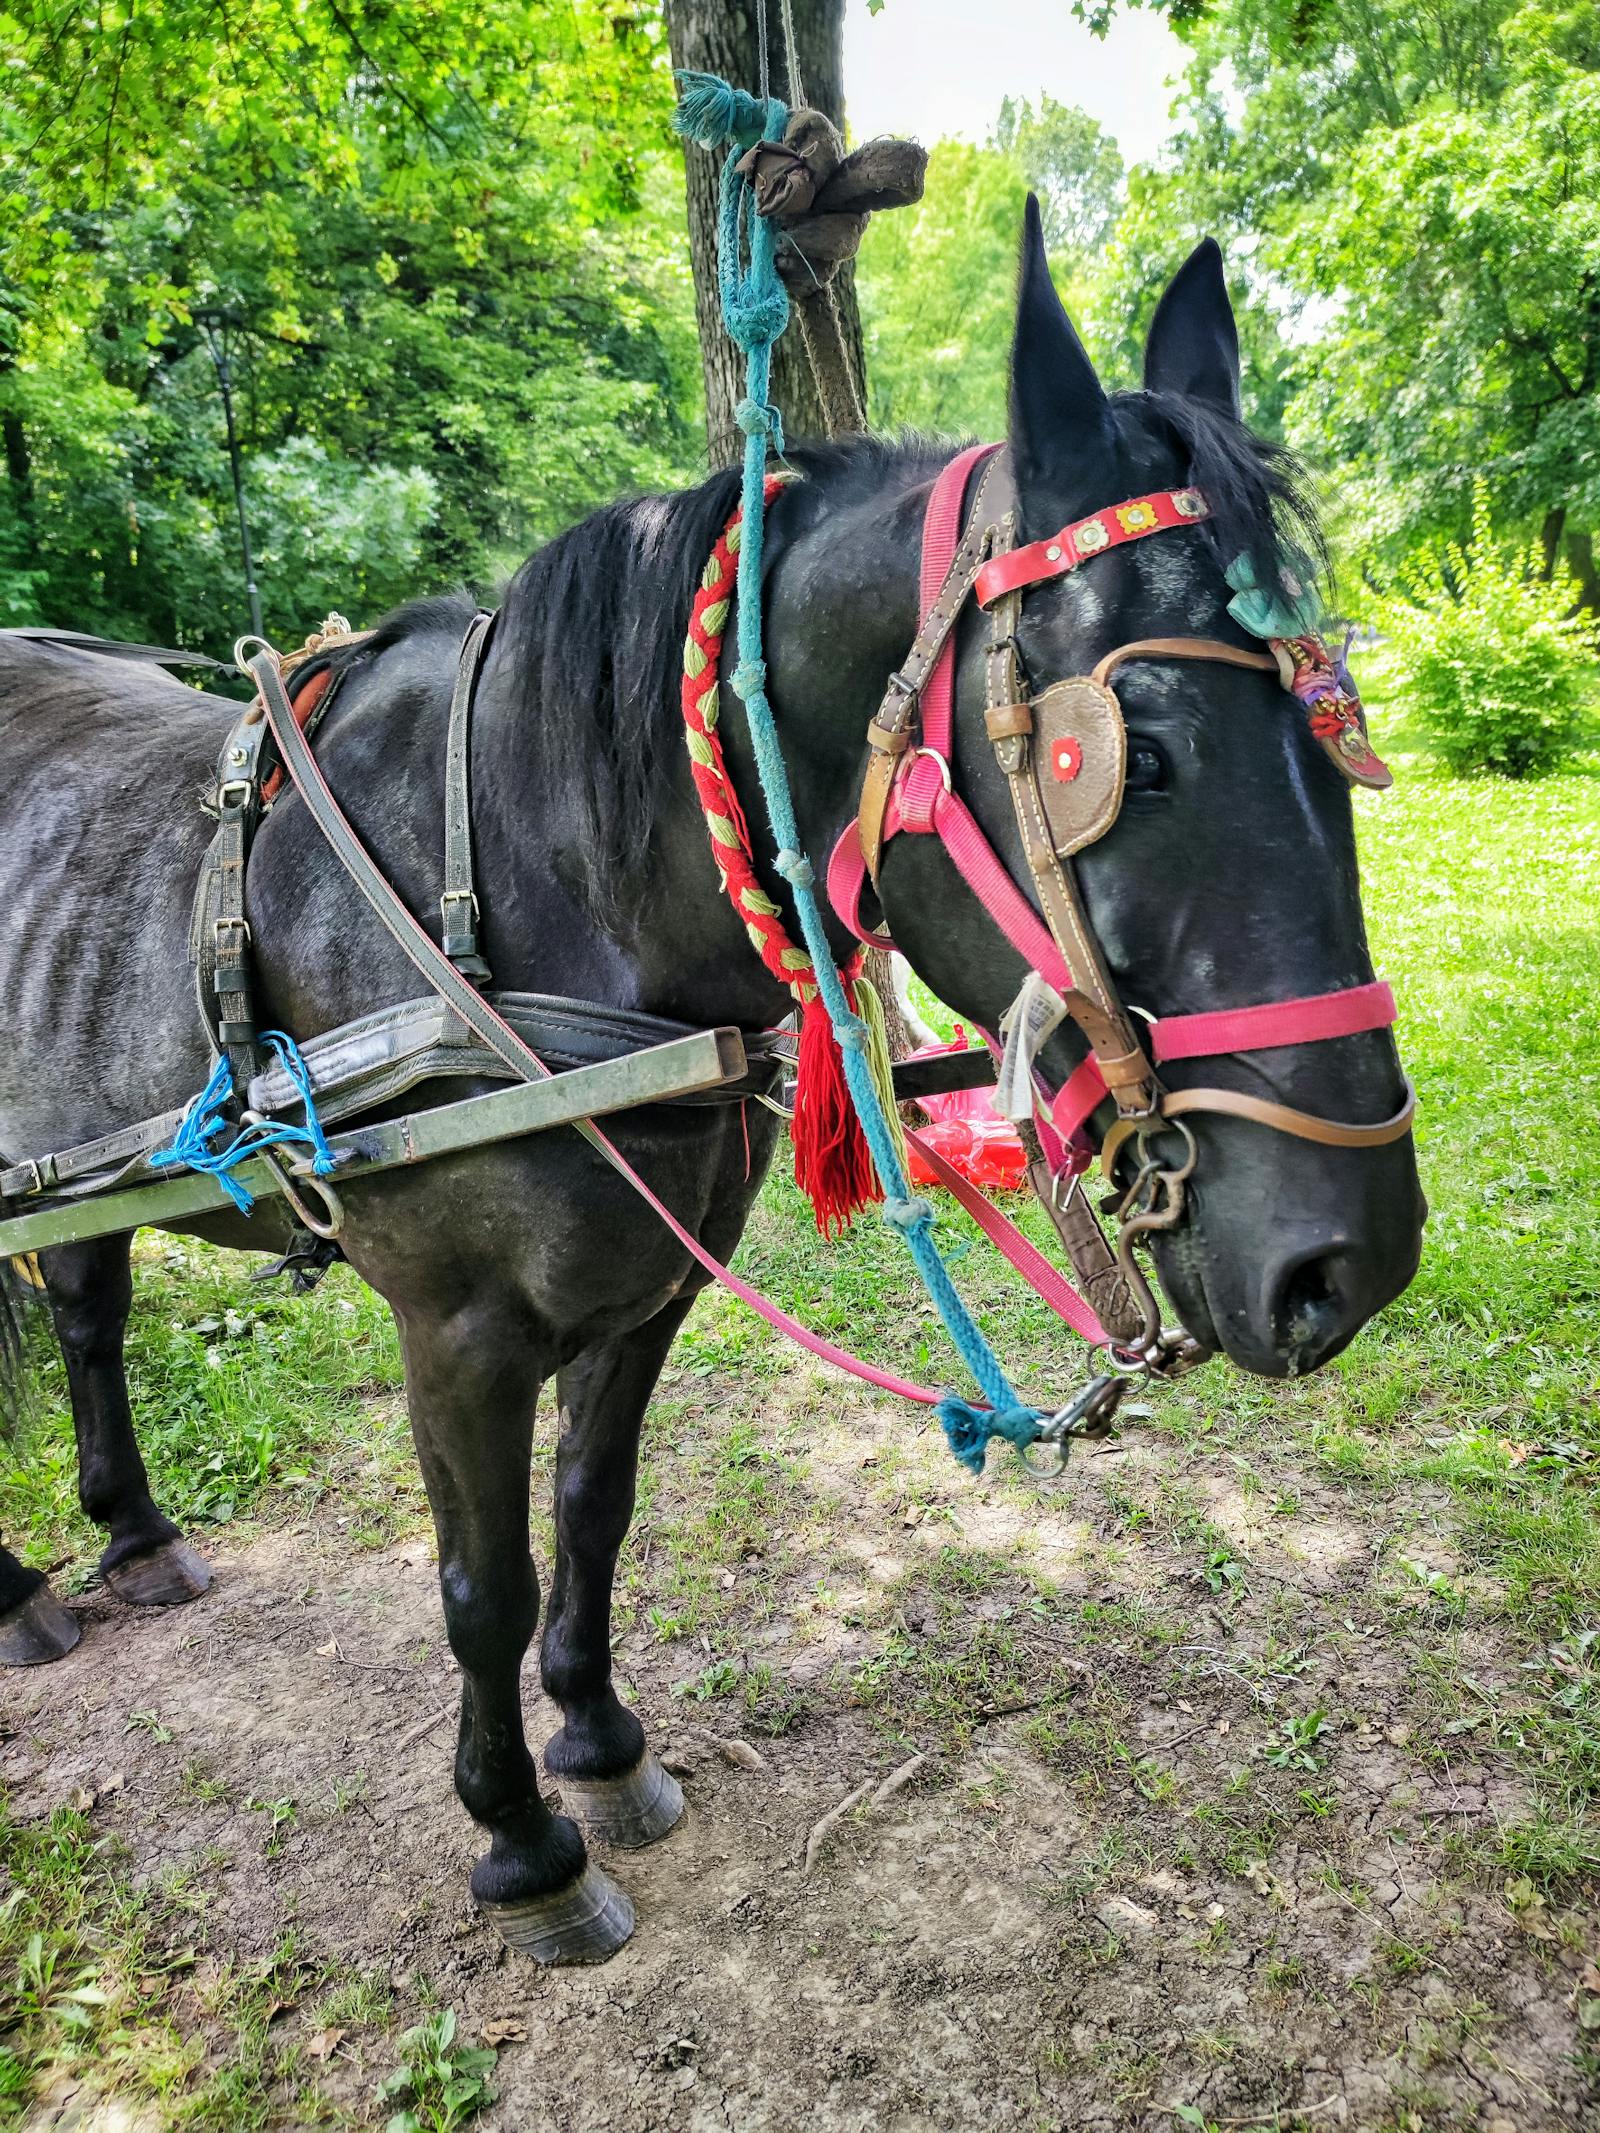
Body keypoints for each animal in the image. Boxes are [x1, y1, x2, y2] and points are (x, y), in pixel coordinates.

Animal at [0, 204, 1424, 1962]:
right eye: (1125, 755)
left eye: (1341, 736)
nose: (1354, 1254)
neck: (538, 884)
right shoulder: (458, 1329)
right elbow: (480, 1587)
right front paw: (521, 1840)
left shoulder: (646, 1293)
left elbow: (592, 1512)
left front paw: (603, 1748)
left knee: (85, 1305)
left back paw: (131, 1533)